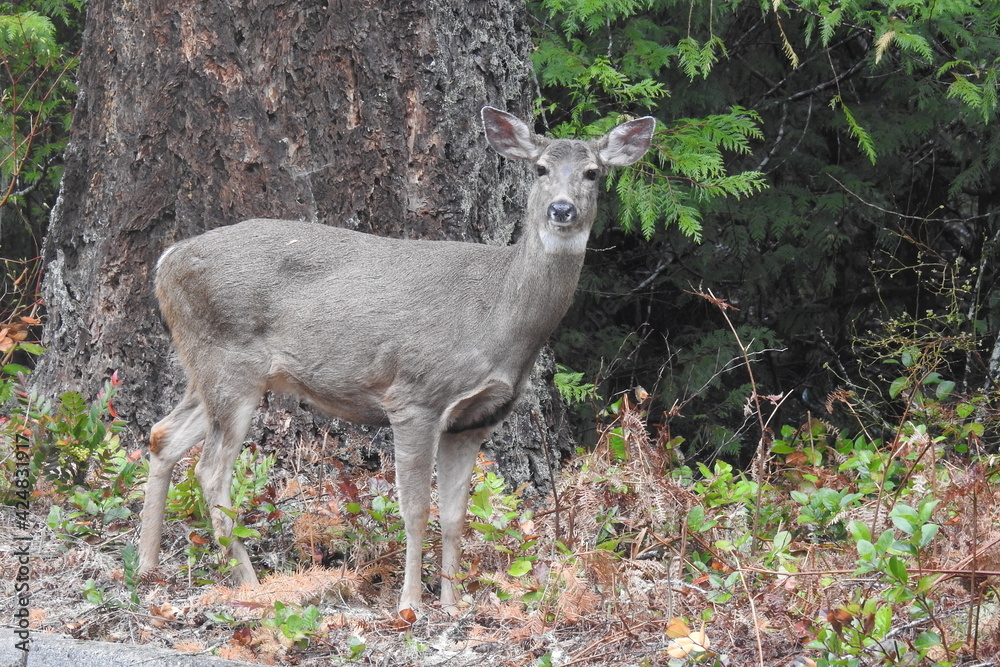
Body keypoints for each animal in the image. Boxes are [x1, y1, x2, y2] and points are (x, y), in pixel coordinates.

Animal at [137, 107, 655, 613]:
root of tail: (167, 260)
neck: (498, 316)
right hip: (229, 363)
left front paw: (452, 603)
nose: (561, 209)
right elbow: (416, 509)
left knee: (163, 435)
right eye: (541, 168)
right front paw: (410, 605)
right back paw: (250, 584)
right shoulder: (414, 397)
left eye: (592, 172)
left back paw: (147, 564)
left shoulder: (476, 420)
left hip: (209, 367)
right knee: (210, 470)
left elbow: (455, 513)